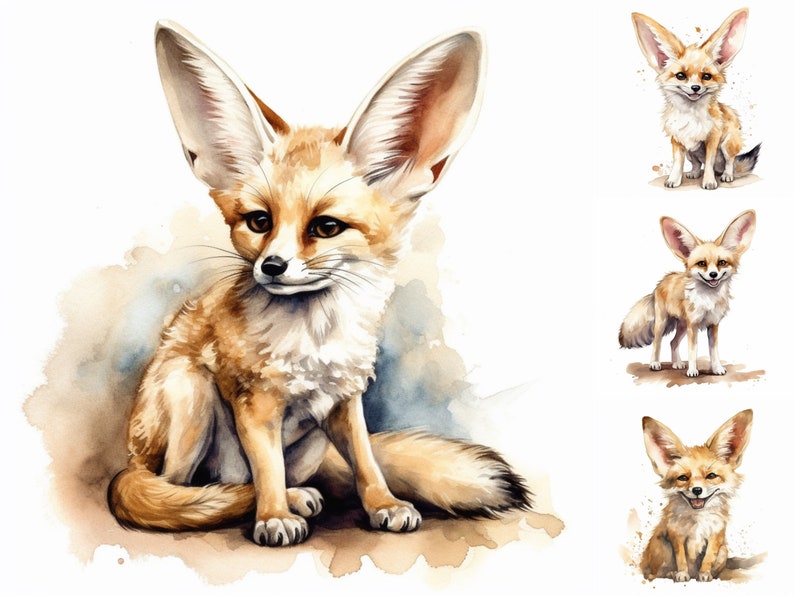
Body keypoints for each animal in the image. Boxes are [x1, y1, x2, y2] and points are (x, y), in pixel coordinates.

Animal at [106, 22, 532, 547]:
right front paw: (271, 516)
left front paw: (384, 505)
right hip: (192, 395)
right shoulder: (255, 404)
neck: (316, 339)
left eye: (326, 227)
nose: (271, 266)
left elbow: (367, 463)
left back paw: (295, 495)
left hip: (305, 440)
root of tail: (131, 458)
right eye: (260, 220)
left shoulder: (345, 400)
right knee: (180, 489)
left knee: (253, 479)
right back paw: (246, 503)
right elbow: (266, 469)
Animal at [619, 210, 755, 377]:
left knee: (673, 342)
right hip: (663, 323)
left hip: (682, 326)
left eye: (721, 262)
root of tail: (662, 281)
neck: (708, 300)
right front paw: (692, 370)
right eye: (701, 263)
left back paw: (676, 363)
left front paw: (716, 368)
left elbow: (714, 351)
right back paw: (655, 363)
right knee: (657, 342)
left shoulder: (713, 325)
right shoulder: (693, 325)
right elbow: (692, 351)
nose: (713, 274)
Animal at [632, 8, 760, 190]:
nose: (695, 88)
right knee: (697, 164)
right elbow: (678, 164)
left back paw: (727, 175)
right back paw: (694, 173)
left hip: (727, 144)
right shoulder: (677, 140)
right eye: (680, 76)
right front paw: (674, 180)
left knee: (729, 161)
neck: (690, 116)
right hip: (691, 151)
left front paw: (709, 181)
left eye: (706, 76)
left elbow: (709, 163)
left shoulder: (713, 139)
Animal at [640, 409, 753, 582]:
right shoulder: (676, 535)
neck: (698, 520)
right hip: (662, 546)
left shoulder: (715, 536)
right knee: (653, 574)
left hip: (724, 551)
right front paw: (681, 574)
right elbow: (681, 558)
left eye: (711, 476)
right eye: (683, 478)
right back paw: (670, 573)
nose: (697, 490)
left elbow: (708, 558)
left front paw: (705, 574)